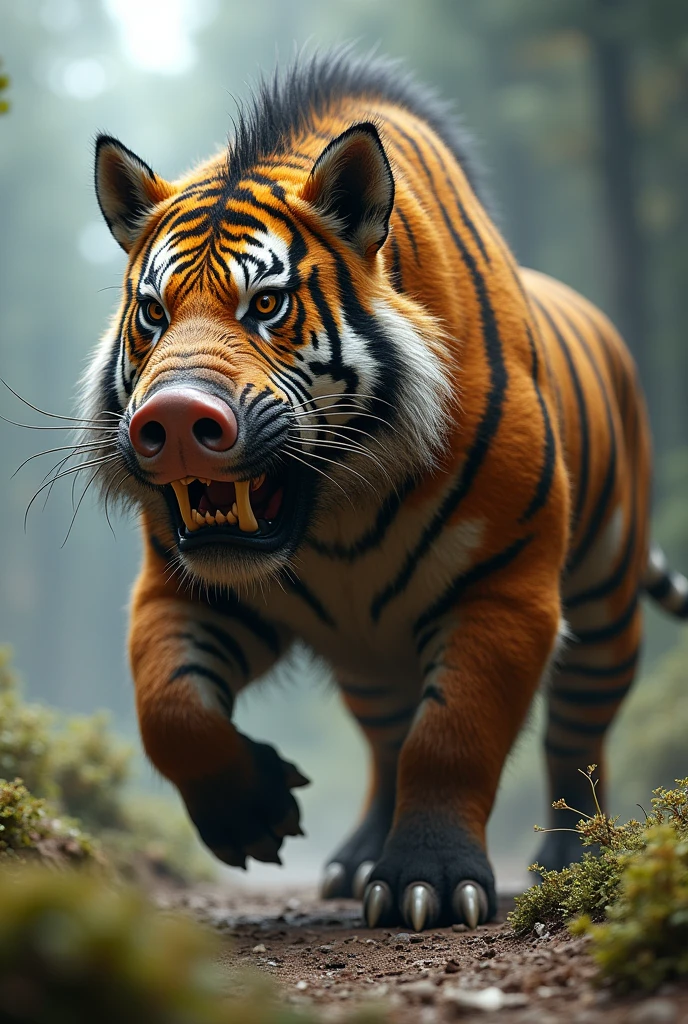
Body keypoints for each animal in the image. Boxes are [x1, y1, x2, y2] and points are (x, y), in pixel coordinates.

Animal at [83, 47, 688, 932]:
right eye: (154, 313)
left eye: (267, 304)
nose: (177, 415)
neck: (338, 509)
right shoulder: (185, 589)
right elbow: (170, 709)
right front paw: (253, 815)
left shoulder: (506, 586)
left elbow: (453, 735)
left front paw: (425, 883)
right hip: (369, 658)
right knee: (384, 738)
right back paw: (355, 858)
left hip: (606, 602)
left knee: (577, 732)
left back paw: (575, 856)